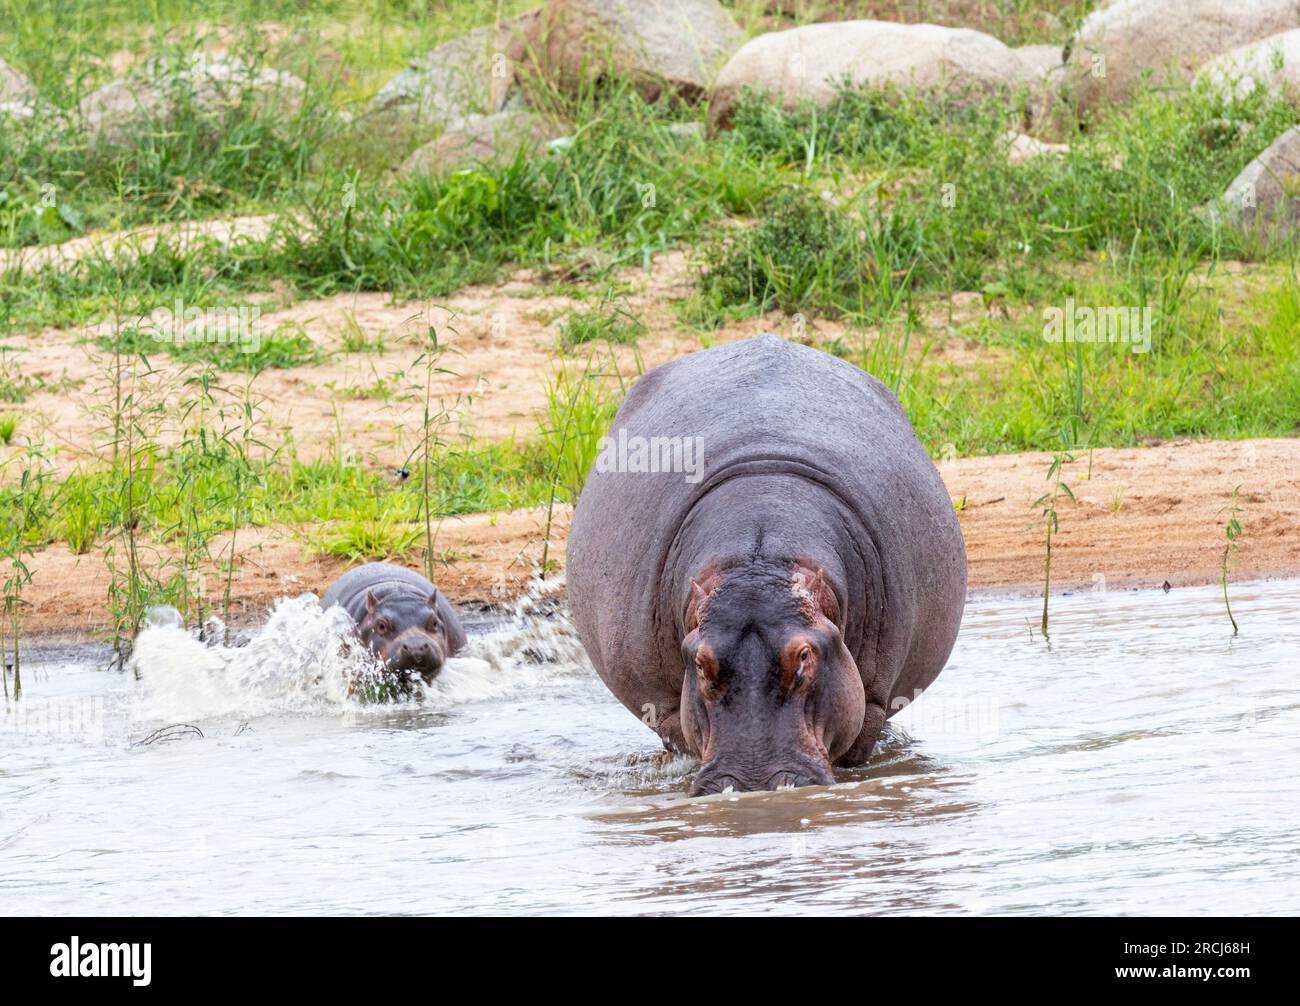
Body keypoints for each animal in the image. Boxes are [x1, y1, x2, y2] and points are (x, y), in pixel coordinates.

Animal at [566, 335, 966, 794]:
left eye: (804, 657)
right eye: (700, 664)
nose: (753, 783)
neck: (757, 562)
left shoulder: (873, 701)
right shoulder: (666, 707)